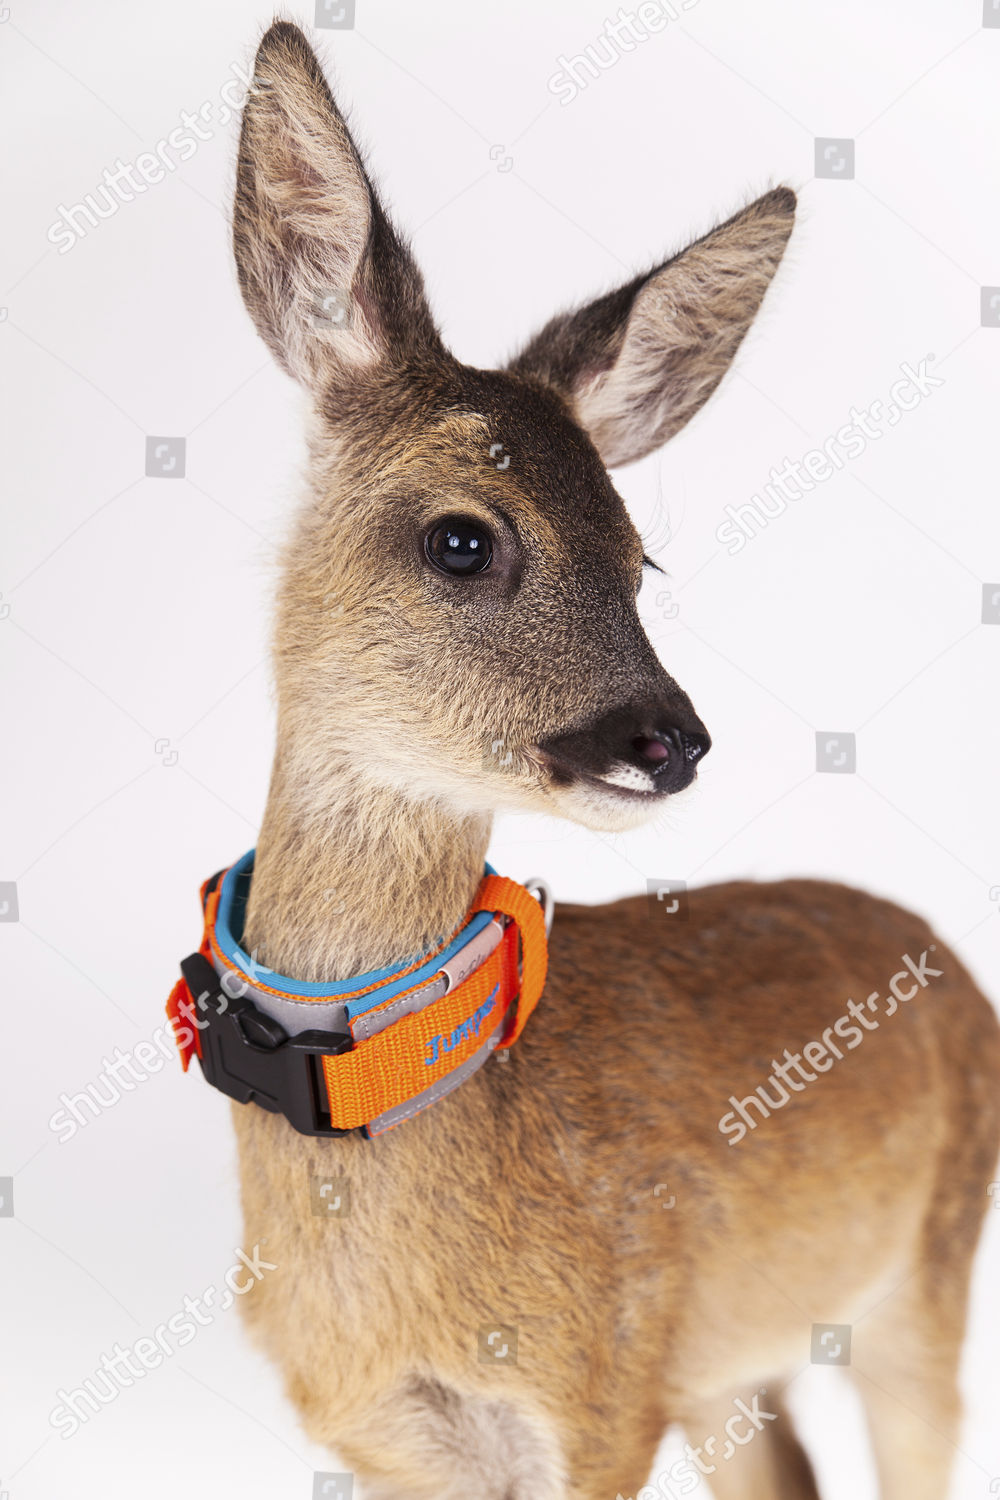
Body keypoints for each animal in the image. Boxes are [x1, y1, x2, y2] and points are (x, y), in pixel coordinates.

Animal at [167, 20, 1000, 1500]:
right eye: (461, 538)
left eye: (639, 559)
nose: (669, 738)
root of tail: (956, 969)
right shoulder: (387, 1436)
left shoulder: (603, 1388)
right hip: (731, 1364)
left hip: (926, 1273)